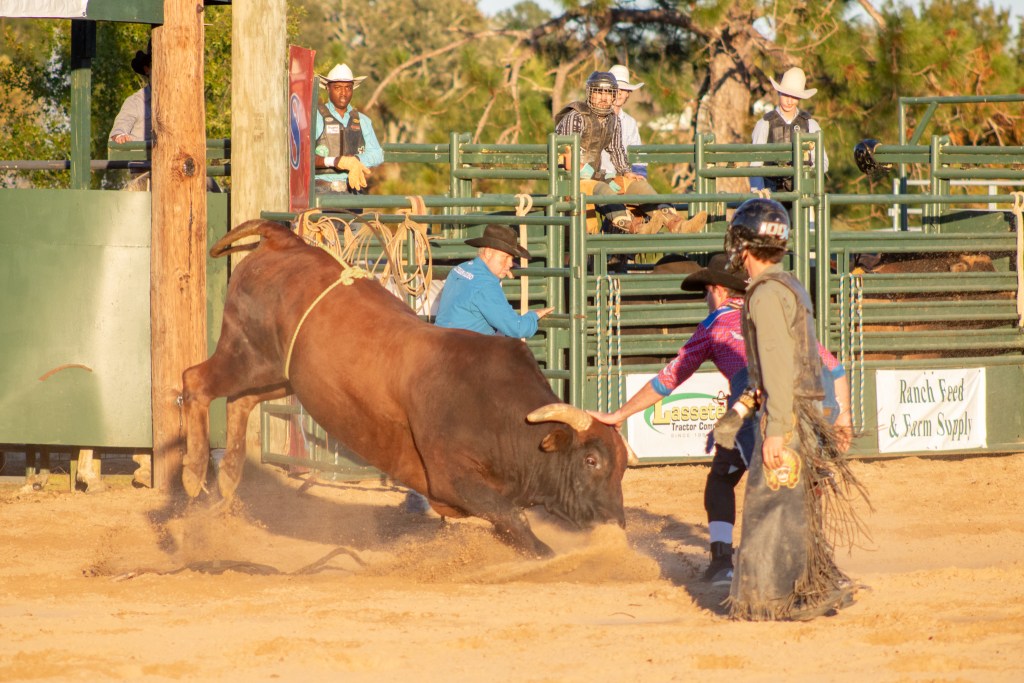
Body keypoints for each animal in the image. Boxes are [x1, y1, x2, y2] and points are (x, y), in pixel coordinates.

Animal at [180, 219, 629, 558]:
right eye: (591, 461)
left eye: (622, 465)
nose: (616, 523)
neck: (501, 412)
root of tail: (283, 239)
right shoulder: (455, 479)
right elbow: (518, 525)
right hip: (247, 354)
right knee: (196, 382)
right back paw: (192, 474)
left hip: (279, 375)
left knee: (240, 402)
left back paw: (227, 479)